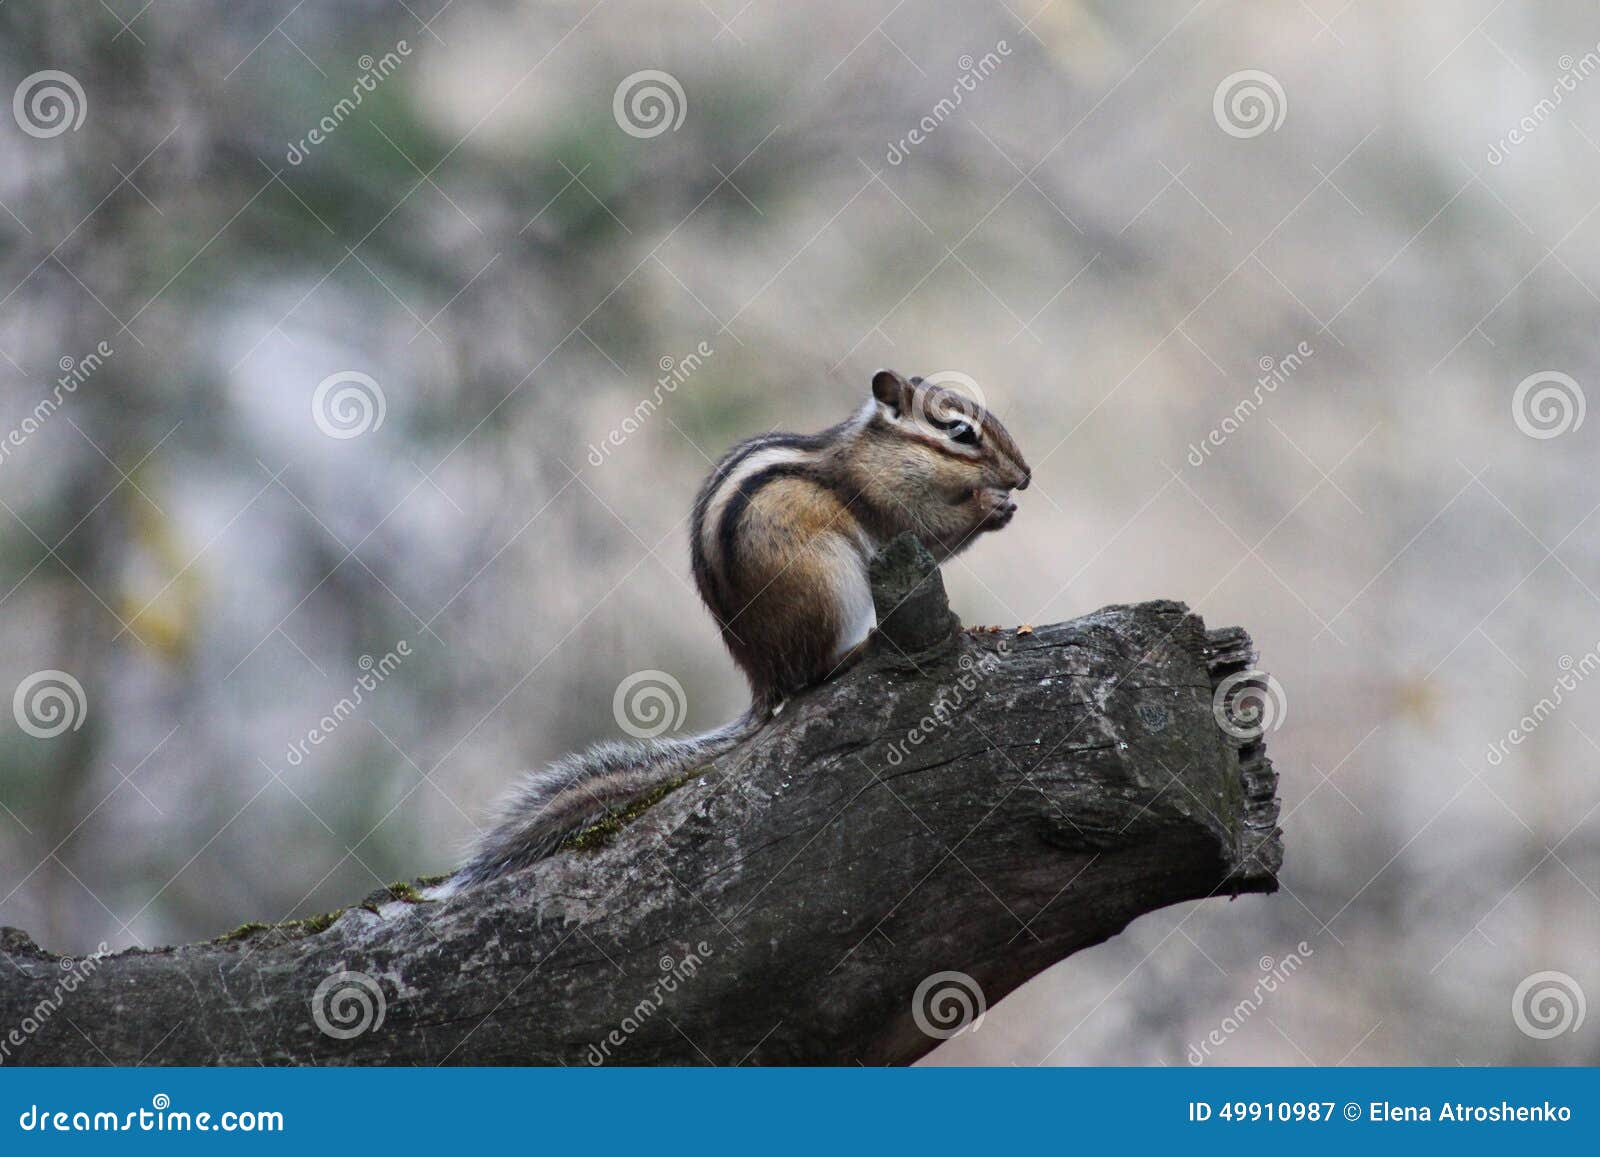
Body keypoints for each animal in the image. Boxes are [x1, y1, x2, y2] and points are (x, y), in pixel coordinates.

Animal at [447, 369, 1031, 887]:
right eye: (960, 432)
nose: (1024, 475)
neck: (877, 452)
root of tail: (762, 675)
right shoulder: (887, 501)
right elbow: (929, 528)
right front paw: (989, 506)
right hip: (831, 581)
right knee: (815, 673)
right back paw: (859, 649)